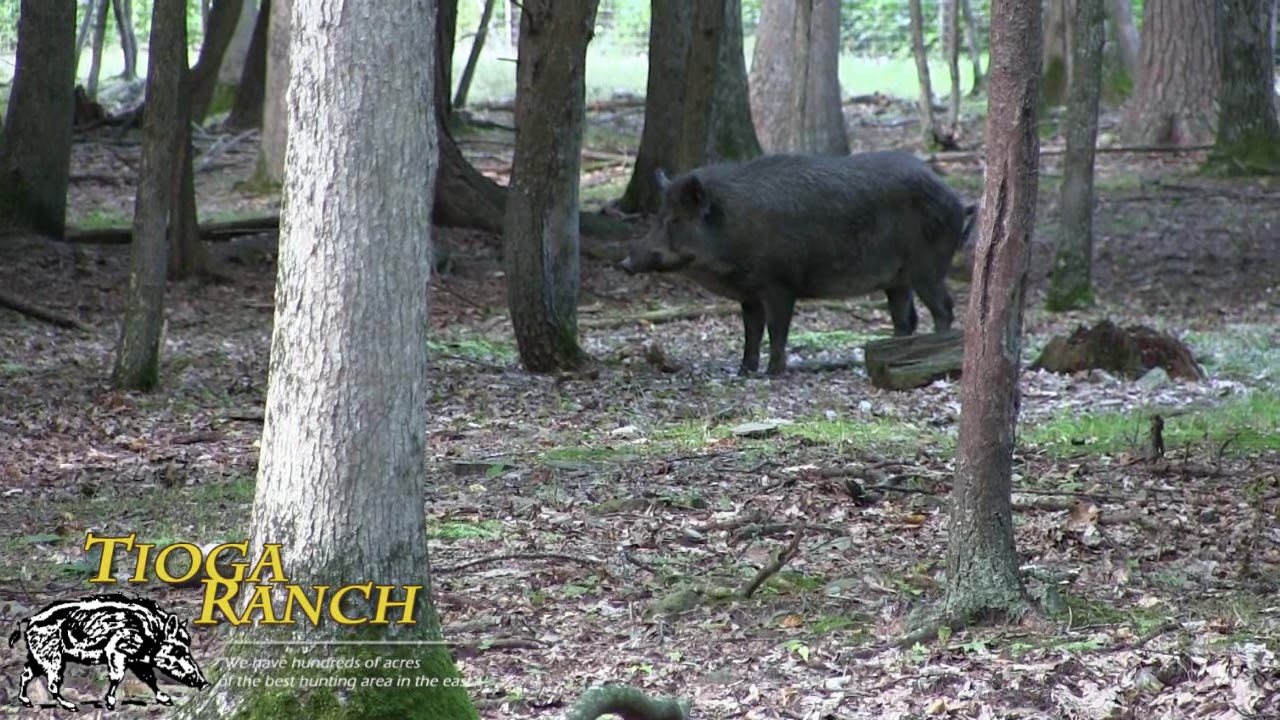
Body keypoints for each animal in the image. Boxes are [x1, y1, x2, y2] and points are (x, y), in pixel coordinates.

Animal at [8, 593, 209, 711]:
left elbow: (149, 678)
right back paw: (70, 705)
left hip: (38, 656)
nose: (204, 683)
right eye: (177, 651)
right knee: (51, 684)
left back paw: (25, 700)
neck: (150, 632)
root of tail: (30, 620)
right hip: (52, 658)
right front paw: (111, 703)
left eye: (187, 646)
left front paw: (165, 699)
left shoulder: (138, 659)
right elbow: (117, 676)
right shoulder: (117, 651)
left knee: (26, 674)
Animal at [620, 151, 974, 375]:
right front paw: (743, 371)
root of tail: (957, 201)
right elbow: (751, 331)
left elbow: (777, 328)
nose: (625, 262)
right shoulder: (749, 294)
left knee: (943, 308)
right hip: (896, 279)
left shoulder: (779, 283)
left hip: (927, 267)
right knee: (906, 318)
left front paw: (772, 373)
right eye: (658, 215)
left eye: (677, 220)